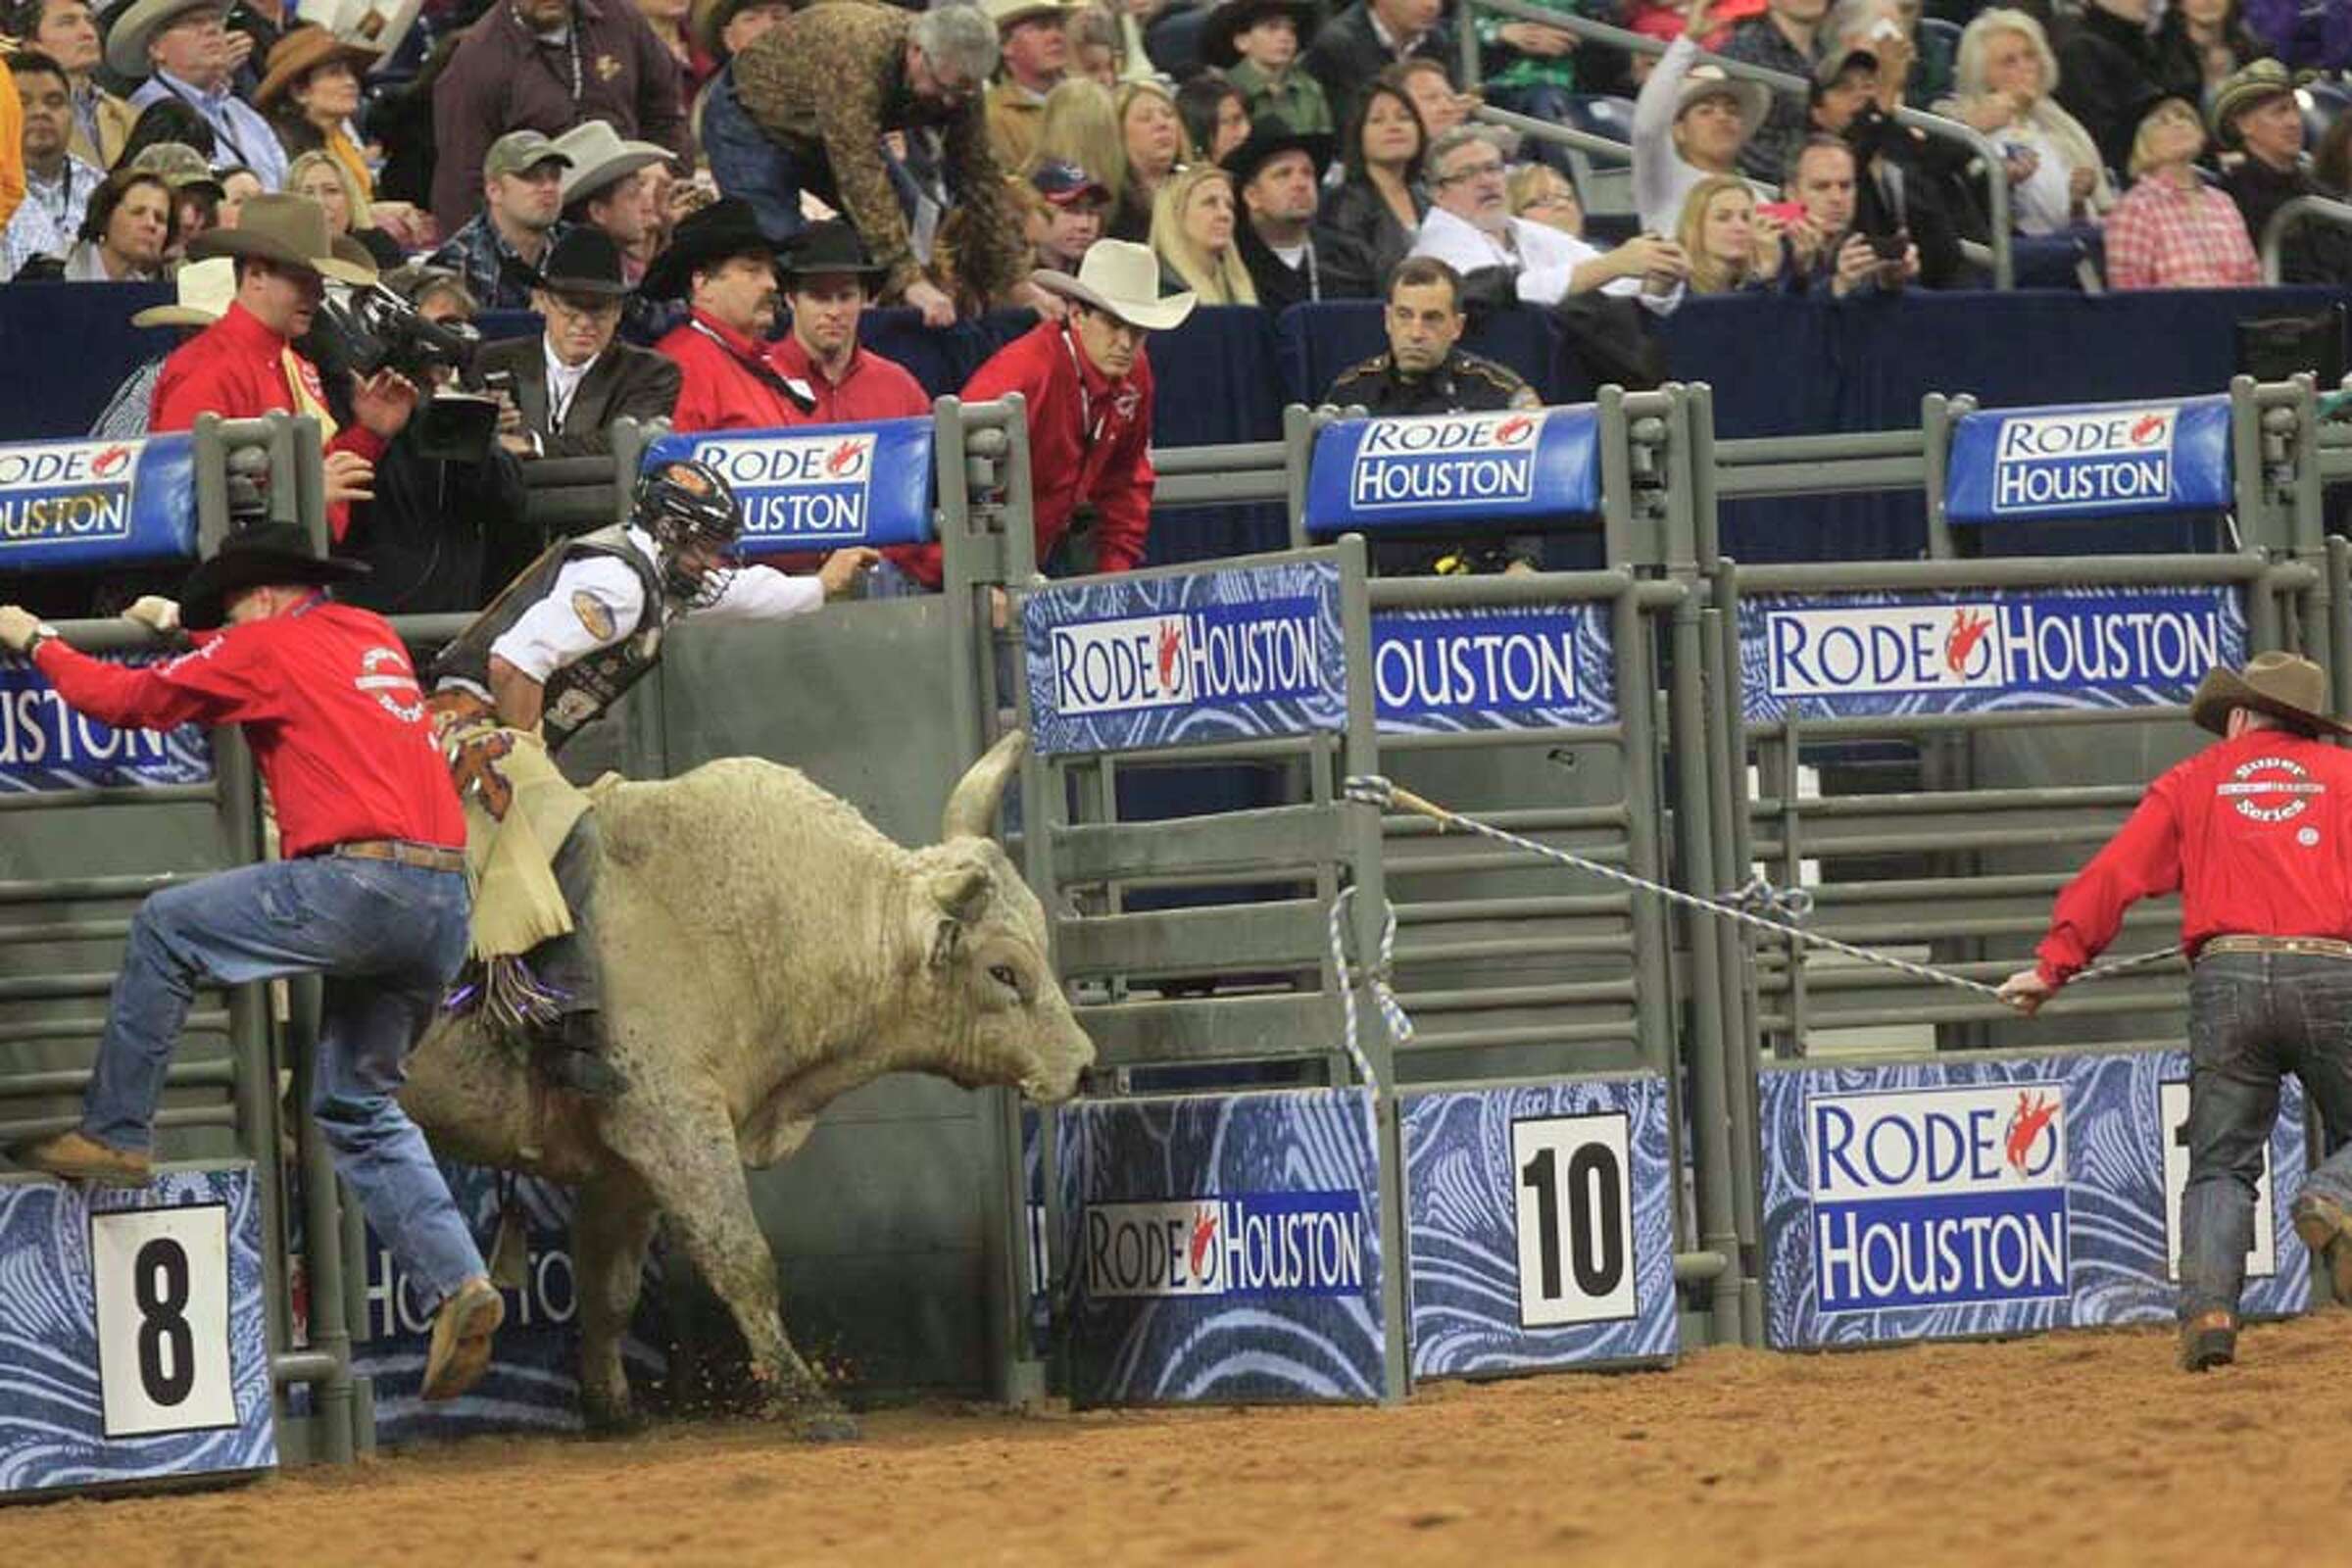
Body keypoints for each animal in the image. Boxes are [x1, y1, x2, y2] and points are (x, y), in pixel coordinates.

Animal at [396, 729, 1092, 1439]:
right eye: (1004, 970)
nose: (1084, 1066)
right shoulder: (674, 1121)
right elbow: (741, 1259)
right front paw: (809, 1403)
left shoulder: (624, 1164)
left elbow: (608, 1287)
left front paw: (613, 1408)